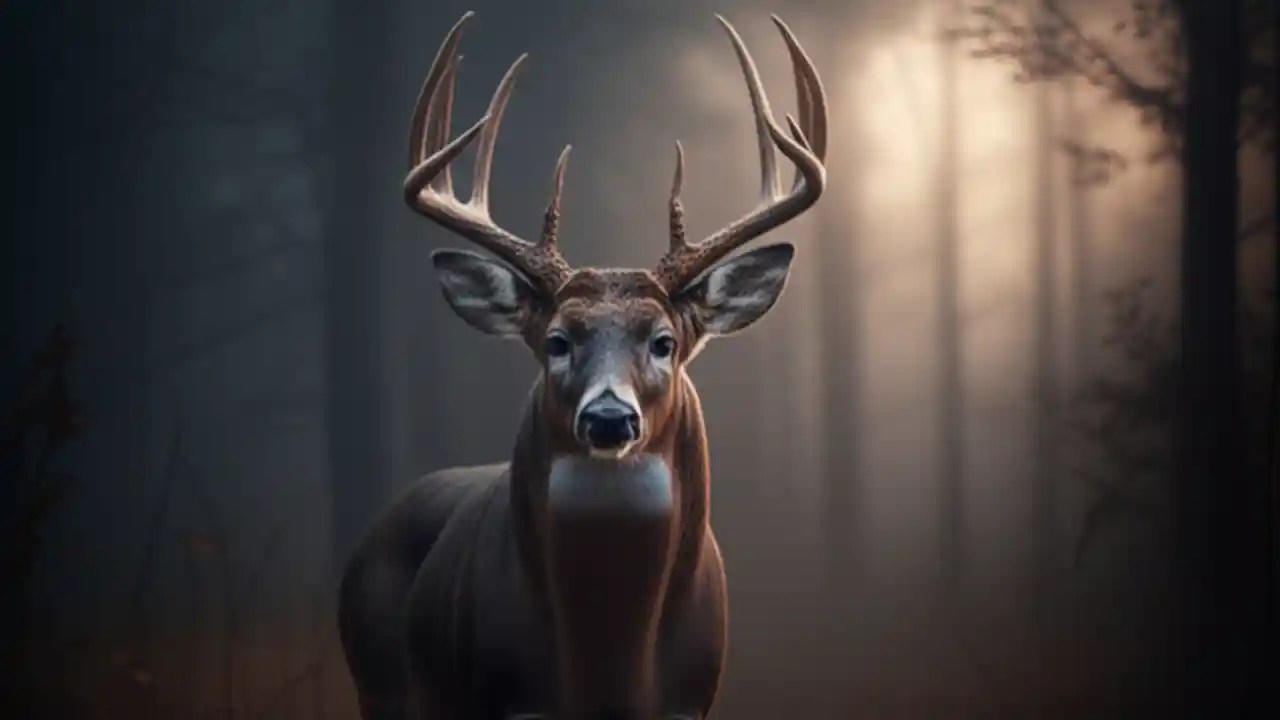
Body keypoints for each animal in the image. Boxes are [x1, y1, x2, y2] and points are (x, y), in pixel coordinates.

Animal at [338, 10, 827, 720]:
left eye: (663, 341)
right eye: (557, 340)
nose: (608, 417)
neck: (608, 667)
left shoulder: (691, 699)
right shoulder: (511, 696)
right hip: (384, 687)